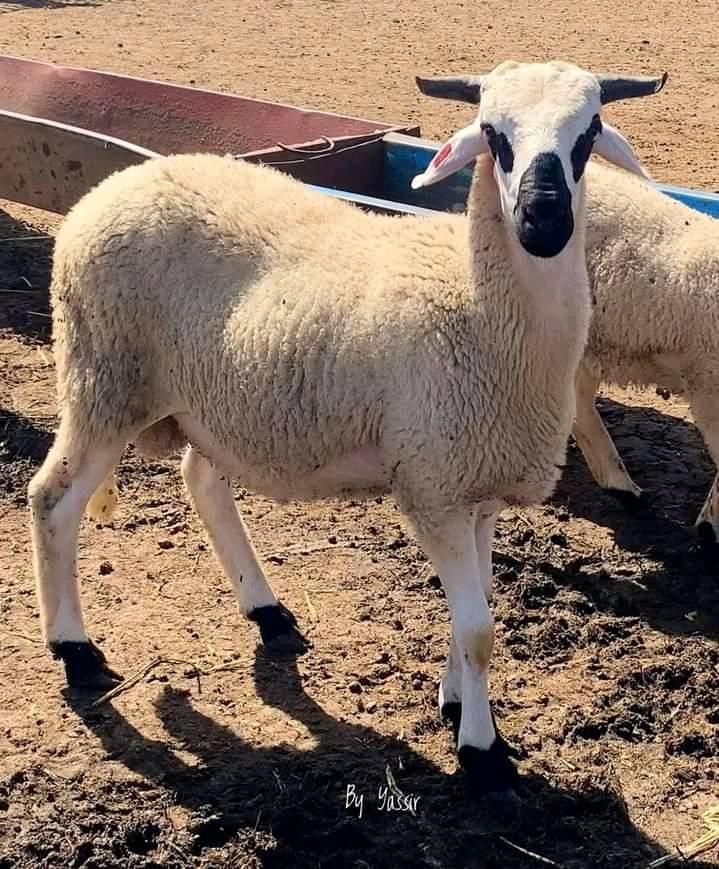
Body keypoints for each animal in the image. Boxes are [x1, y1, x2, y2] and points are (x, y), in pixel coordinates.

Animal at [28, 61, 664, 795]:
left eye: (588, 133)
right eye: (491, 133)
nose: (543, 218)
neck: (478, 304)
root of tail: (118, 185)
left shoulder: (475, 485)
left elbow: (472, 610)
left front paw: (456, 704)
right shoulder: (434, 486)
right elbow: (478, 630)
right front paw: (482, 752)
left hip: (218, 398)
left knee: (201, 481)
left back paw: (267, 612)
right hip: (105, 377)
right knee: (52, 500)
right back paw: (75, 651)